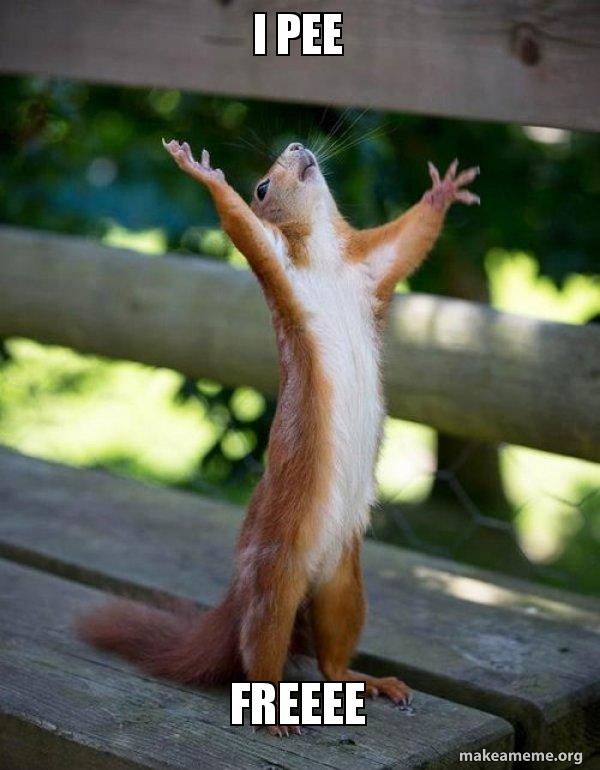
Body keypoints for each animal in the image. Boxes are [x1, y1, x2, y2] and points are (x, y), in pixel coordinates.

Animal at [79, 138, 479, 737]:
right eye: (262, 186)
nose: (296, 146)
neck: (327, 258)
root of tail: (239, 593)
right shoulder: (278, 266)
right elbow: (242, 227)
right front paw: (204, 174)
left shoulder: (371, 267)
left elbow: (408, 241)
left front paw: (443, 191)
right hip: (275, 577)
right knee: (259, 649)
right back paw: (274, 713)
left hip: (344, 583)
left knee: (332, 657)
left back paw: (367, 681)